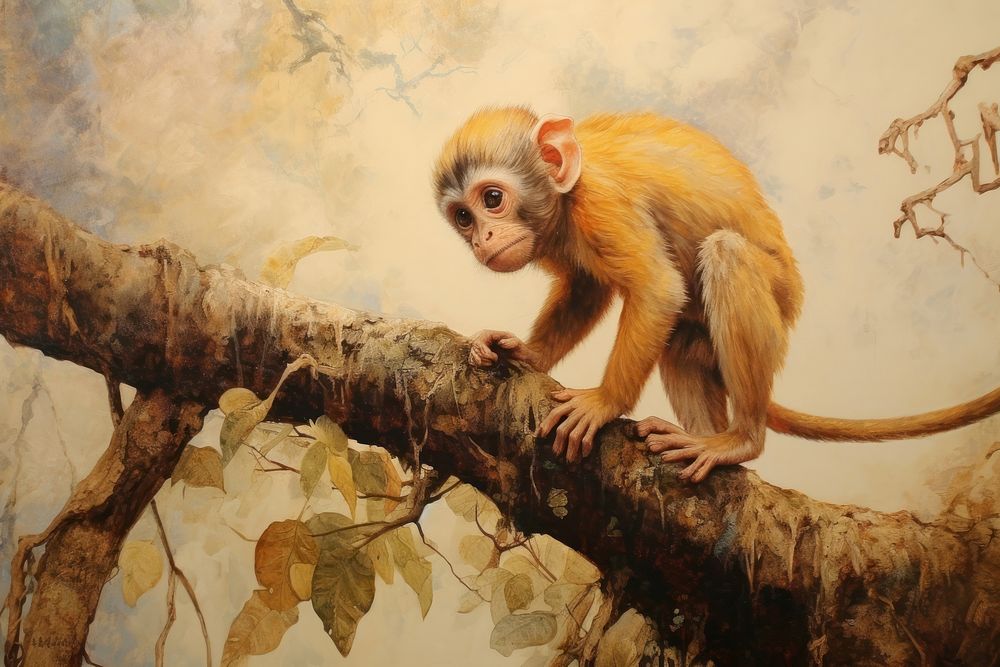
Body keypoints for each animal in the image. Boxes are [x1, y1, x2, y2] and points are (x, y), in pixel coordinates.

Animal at [432, 106, 1000, 482]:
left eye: (493, 199)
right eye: (463, 217)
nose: (482, 238)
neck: (566, 194)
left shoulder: (602, 204)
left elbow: (657, 290)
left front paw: (602, 403)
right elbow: (588, 288)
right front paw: (525, 352)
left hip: (777, 304)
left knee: (726, 255)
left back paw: (737, 441)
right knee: (680, 346)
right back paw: (701, 439)